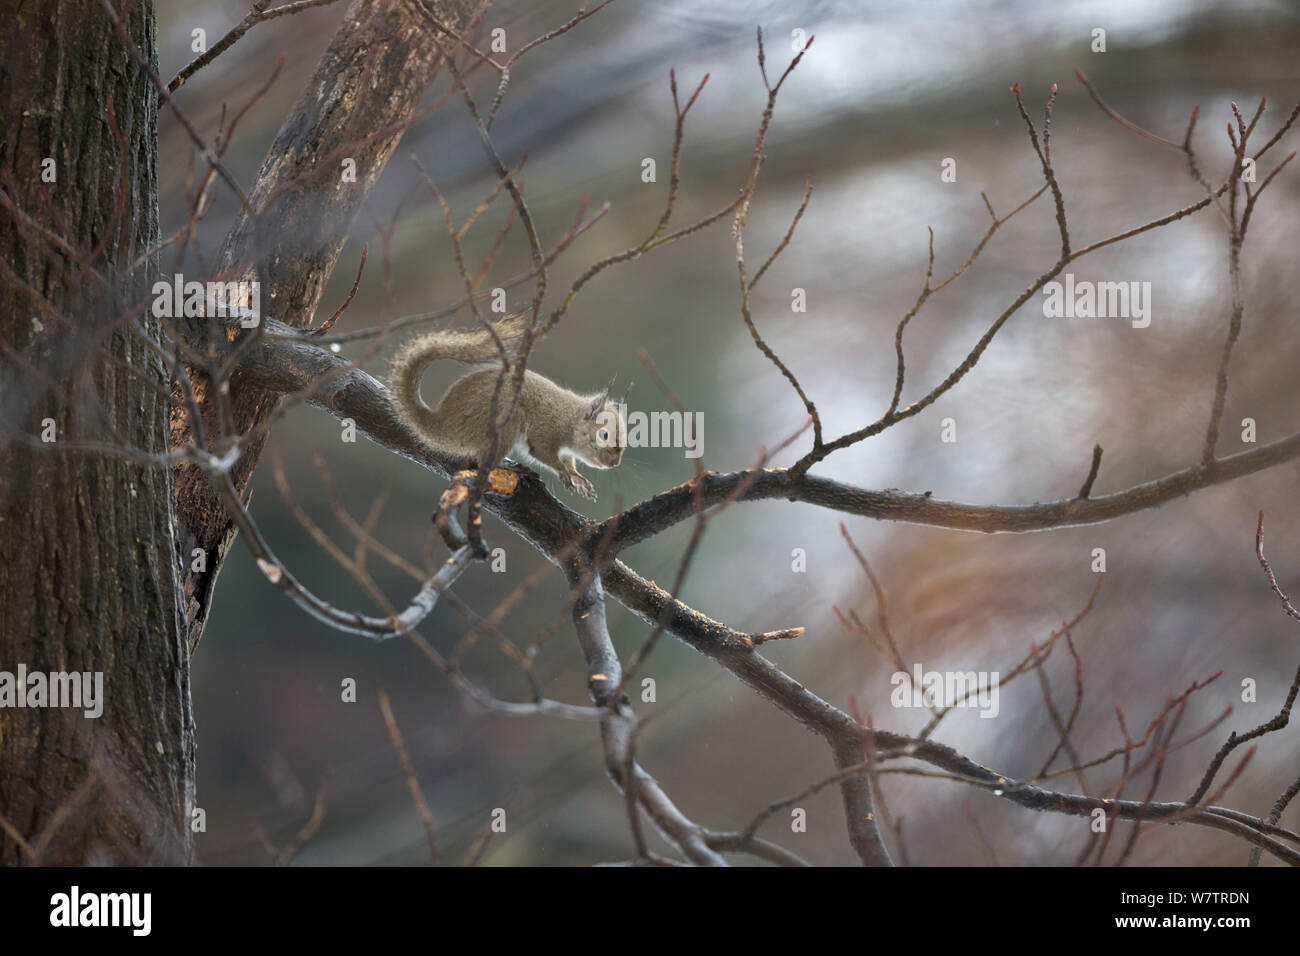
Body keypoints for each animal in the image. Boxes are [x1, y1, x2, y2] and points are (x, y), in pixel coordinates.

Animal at [387, 313, 626, 500]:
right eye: (604, 434)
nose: (614, 463)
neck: (571, 419)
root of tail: (442, 423)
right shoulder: (546, 432)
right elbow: (543, 454)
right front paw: (563, 473)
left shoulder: (566, 450)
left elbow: (568, 462)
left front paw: (578, 478)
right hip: (506, 422)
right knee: (483, 462)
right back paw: (508, 467)